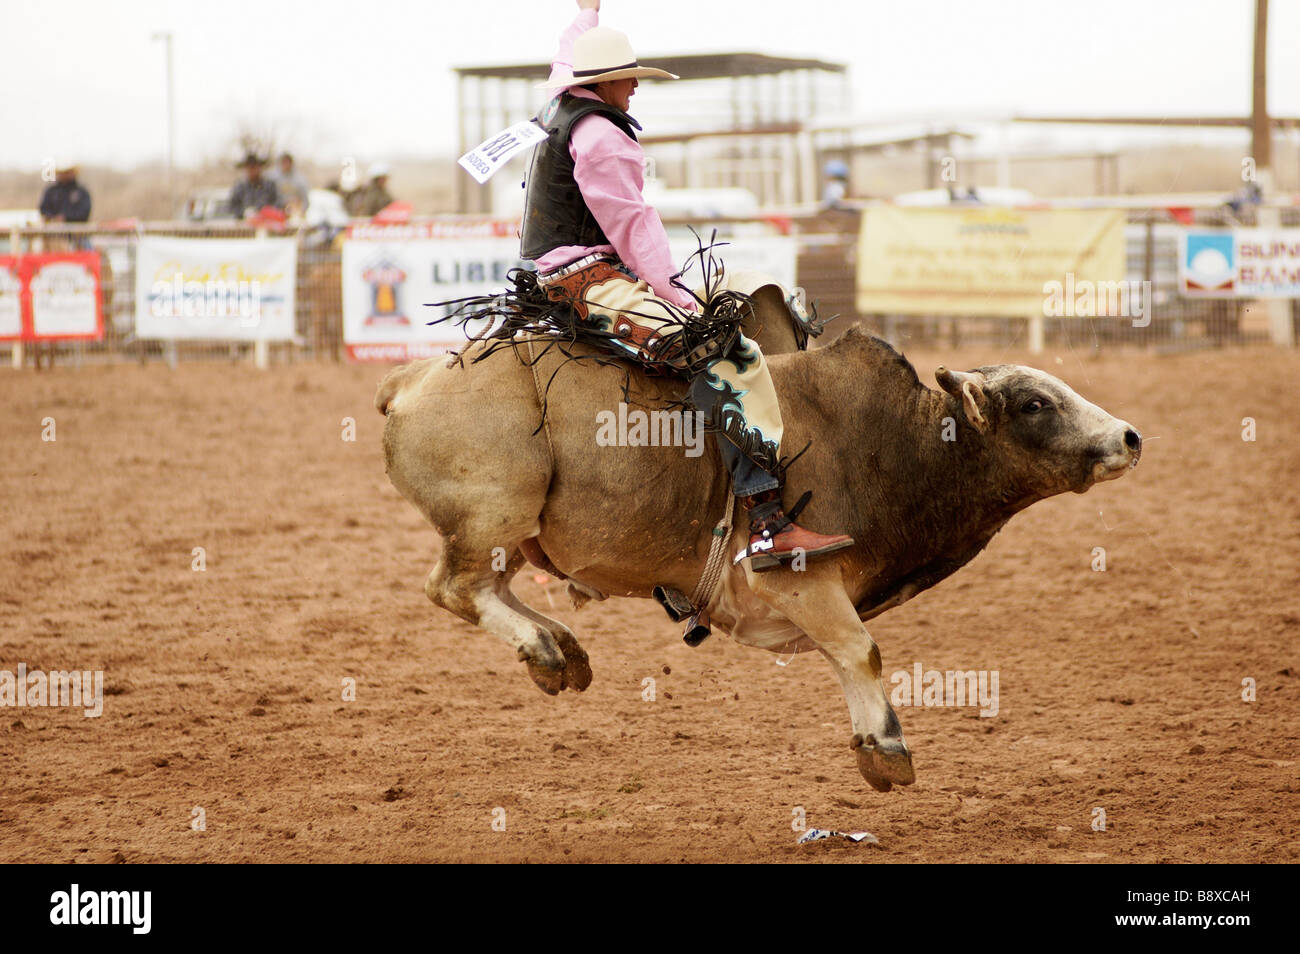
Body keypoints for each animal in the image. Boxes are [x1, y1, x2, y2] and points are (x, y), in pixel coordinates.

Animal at [375, 322, 1141, 791]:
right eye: (1036, 403)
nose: (1130, 437)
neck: (895, 443)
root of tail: (408, 379)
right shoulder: (798, 581)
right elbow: (860, 651)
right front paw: (886, 750)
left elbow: (850, 653)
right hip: (493, 514)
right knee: (455, 587)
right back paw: (543, 648)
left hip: (512, 530)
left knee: (479, 588)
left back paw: (561, 649)